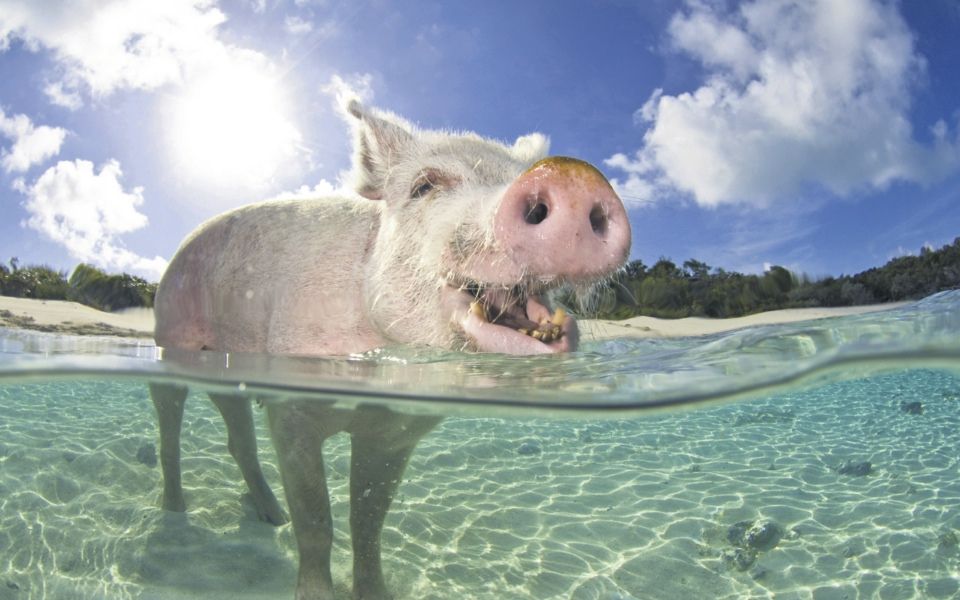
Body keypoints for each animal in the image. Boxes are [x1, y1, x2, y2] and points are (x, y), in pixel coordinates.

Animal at [150, 100, 631, 600]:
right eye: (424, 186)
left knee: (239, 440)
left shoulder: (394, 432)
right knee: (172, 428)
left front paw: (374, 590)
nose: (569, 175)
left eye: (520, 172)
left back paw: (270, 518)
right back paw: (175, 511)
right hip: (169, 336)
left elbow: (368, 523)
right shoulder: (292, 411)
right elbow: (316, 519)